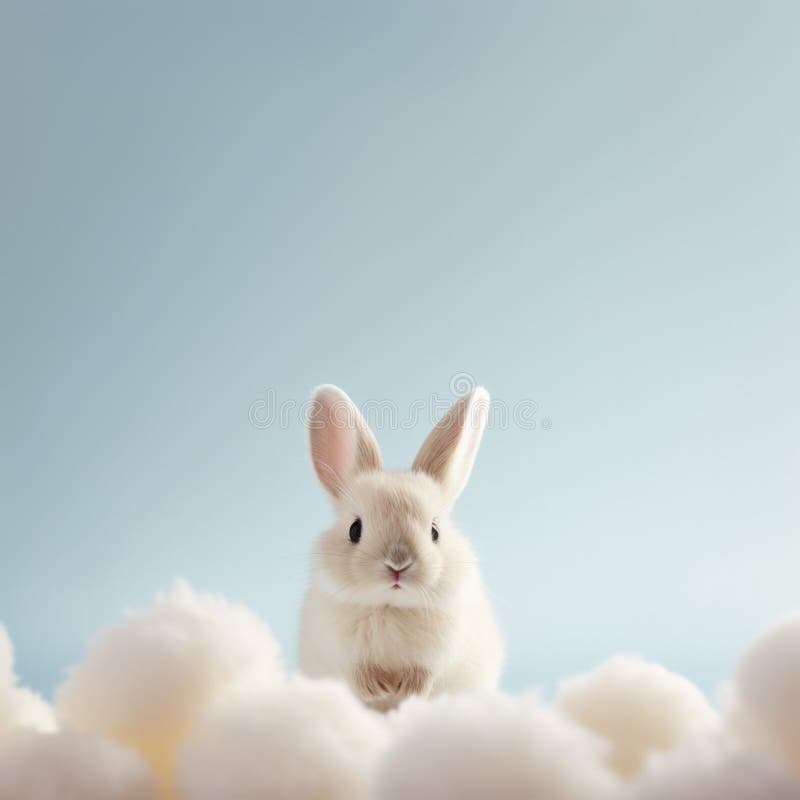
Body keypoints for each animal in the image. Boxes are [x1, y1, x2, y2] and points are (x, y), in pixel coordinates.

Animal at [299, 383, 504, 711]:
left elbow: (425, 673)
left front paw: (405, 689)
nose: (398, 564)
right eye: (354, 530)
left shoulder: (440, 652)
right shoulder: (341, 650)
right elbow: (357, 672)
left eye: (434, 532)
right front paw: (378, 688)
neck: (390, 606)